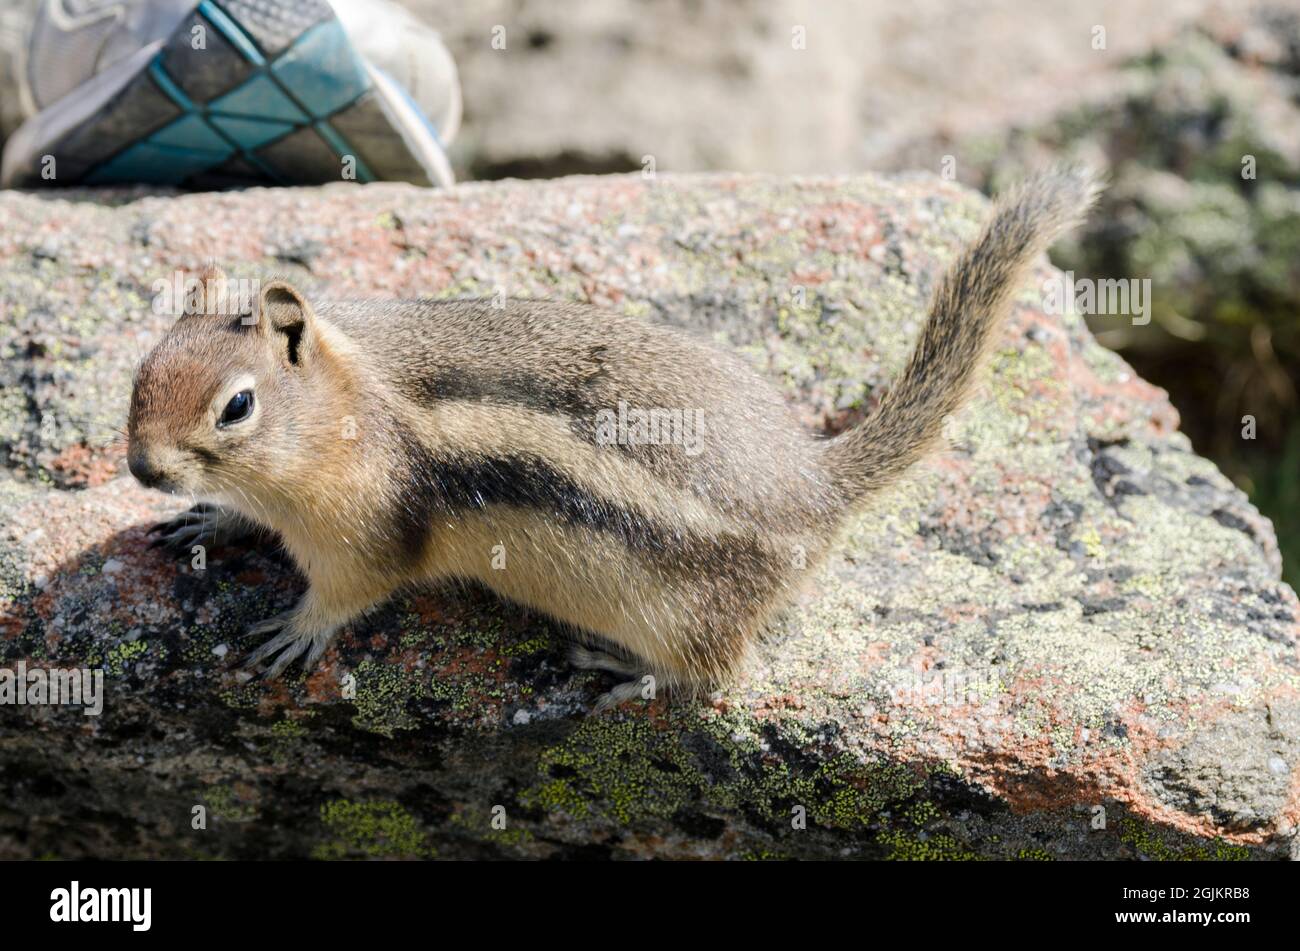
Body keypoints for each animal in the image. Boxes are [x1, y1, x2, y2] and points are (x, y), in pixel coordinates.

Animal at [127, 167, 1099, 709]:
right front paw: (211, 520)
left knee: (721, 675)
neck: (341, 409)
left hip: (686, 609)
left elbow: (351, 591)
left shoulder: (367, 532)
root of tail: (818, 485)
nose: (140, 467)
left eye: (236, 406)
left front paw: (296, 630)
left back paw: (629, 674)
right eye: (144, 366)